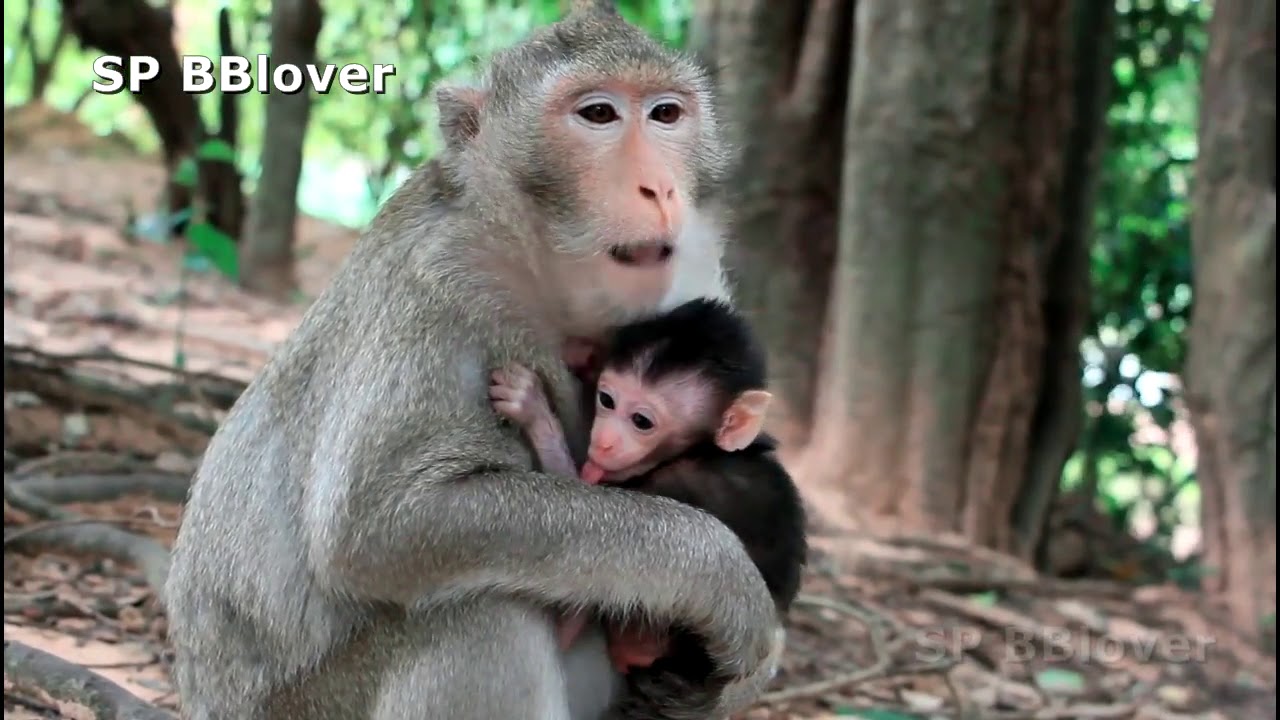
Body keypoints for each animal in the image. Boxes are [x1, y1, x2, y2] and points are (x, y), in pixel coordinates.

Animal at [491, 297, 808, 676]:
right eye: (607, 400)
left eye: (641, 421)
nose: (604, 442)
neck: (701, 450)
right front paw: (583, 356)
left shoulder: (682, 483)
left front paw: (533, 410)